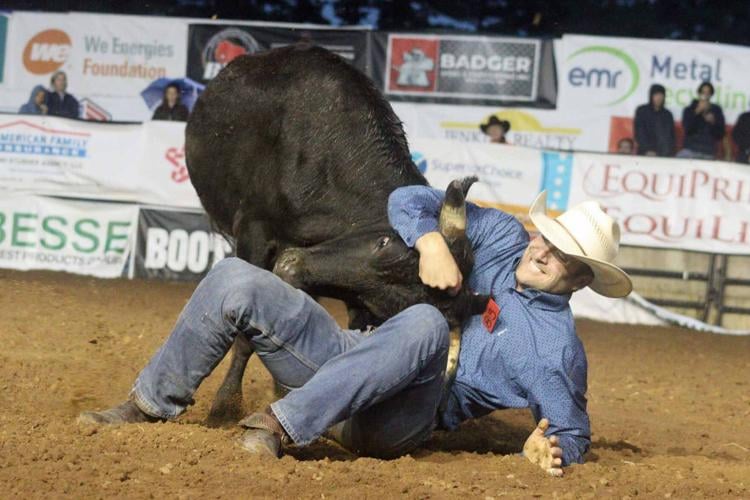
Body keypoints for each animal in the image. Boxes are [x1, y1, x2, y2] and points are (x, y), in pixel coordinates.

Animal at [185, 44, 487, 424]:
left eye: (378, 305)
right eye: (383, 243)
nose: (292, 265)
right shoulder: (254, 232)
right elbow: (243, 331)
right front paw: (224, 406)